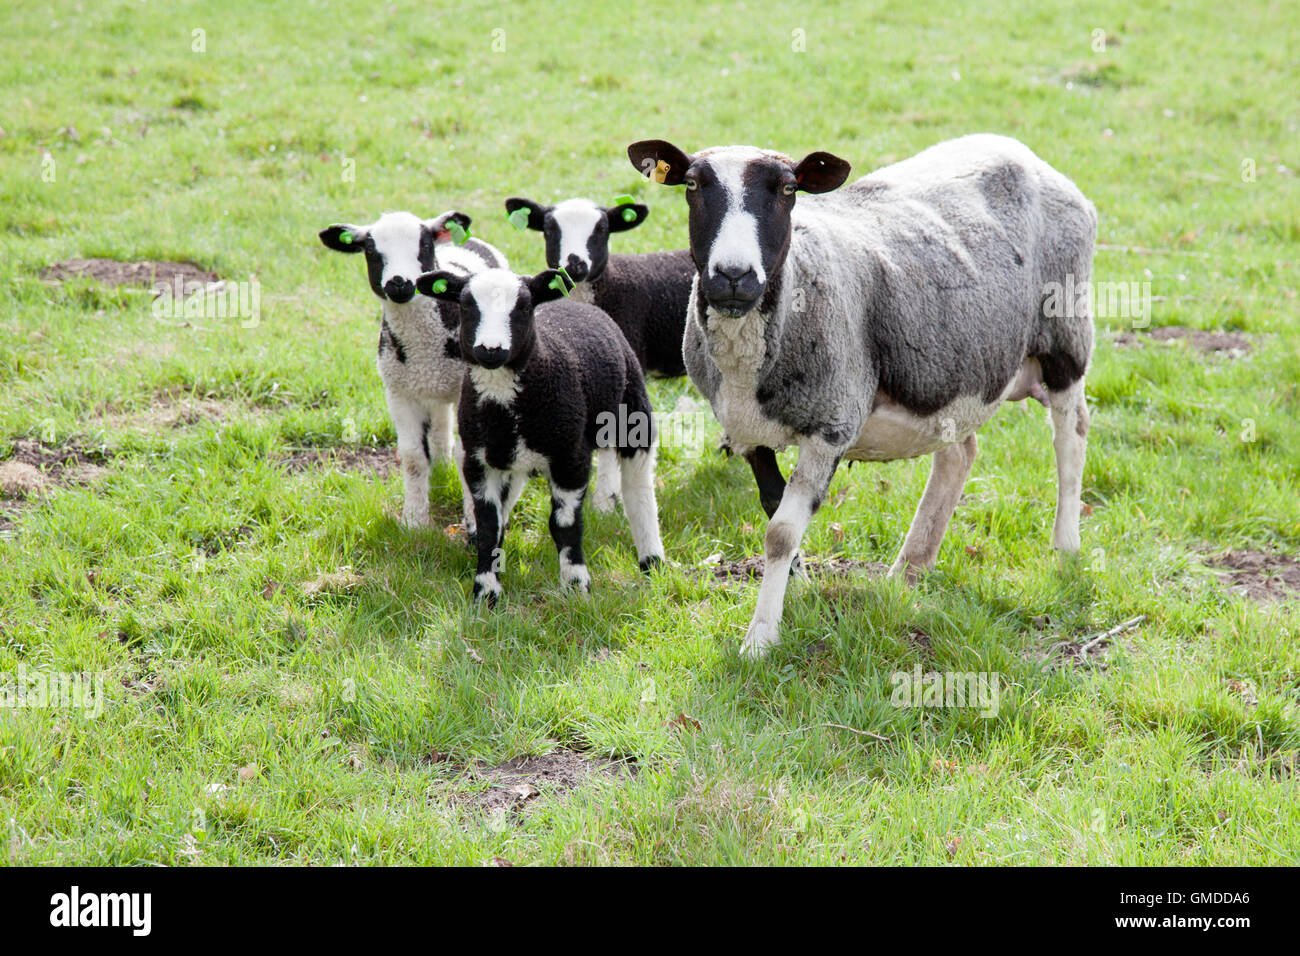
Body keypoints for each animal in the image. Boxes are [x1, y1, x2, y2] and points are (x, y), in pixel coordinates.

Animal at [318, 210, 507, 537]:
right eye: (371, 250)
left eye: (425, 244)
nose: (399, 282)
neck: (423, 348)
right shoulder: (399, 392)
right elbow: (413, 457)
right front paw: (414, 520)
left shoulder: (467, 391)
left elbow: (467, 456)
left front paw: (473, 520)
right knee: (441, 427)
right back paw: (441, 467)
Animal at [414, 266, 666, 605]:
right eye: (466, 305)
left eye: (523, 306)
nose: (490, 350)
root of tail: (575, 303)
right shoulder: (478, 461)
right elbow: (489, 526)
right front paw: (486, 592)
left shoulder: (571, 458)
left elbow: (564, 524)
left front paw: (576, 586)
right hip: (509, 456)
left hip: (633, 413)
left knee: (639, 489)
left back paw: (651, 560)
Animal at [628, 134, 1096, 657]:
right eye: (692, 185)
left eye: (787, 189)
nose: (733, 276)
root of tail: (1018, 149)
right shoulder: (748, 434)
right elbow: (774, 511)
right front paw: (798, 592)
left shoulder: (831, 425)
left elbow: (780, 532)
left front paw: (760, 639)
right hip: (951, 370)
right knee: (959, 454)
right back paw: (909, 568)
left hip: (1066, 335)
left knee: (1071, 435)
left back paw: (1065, 545)